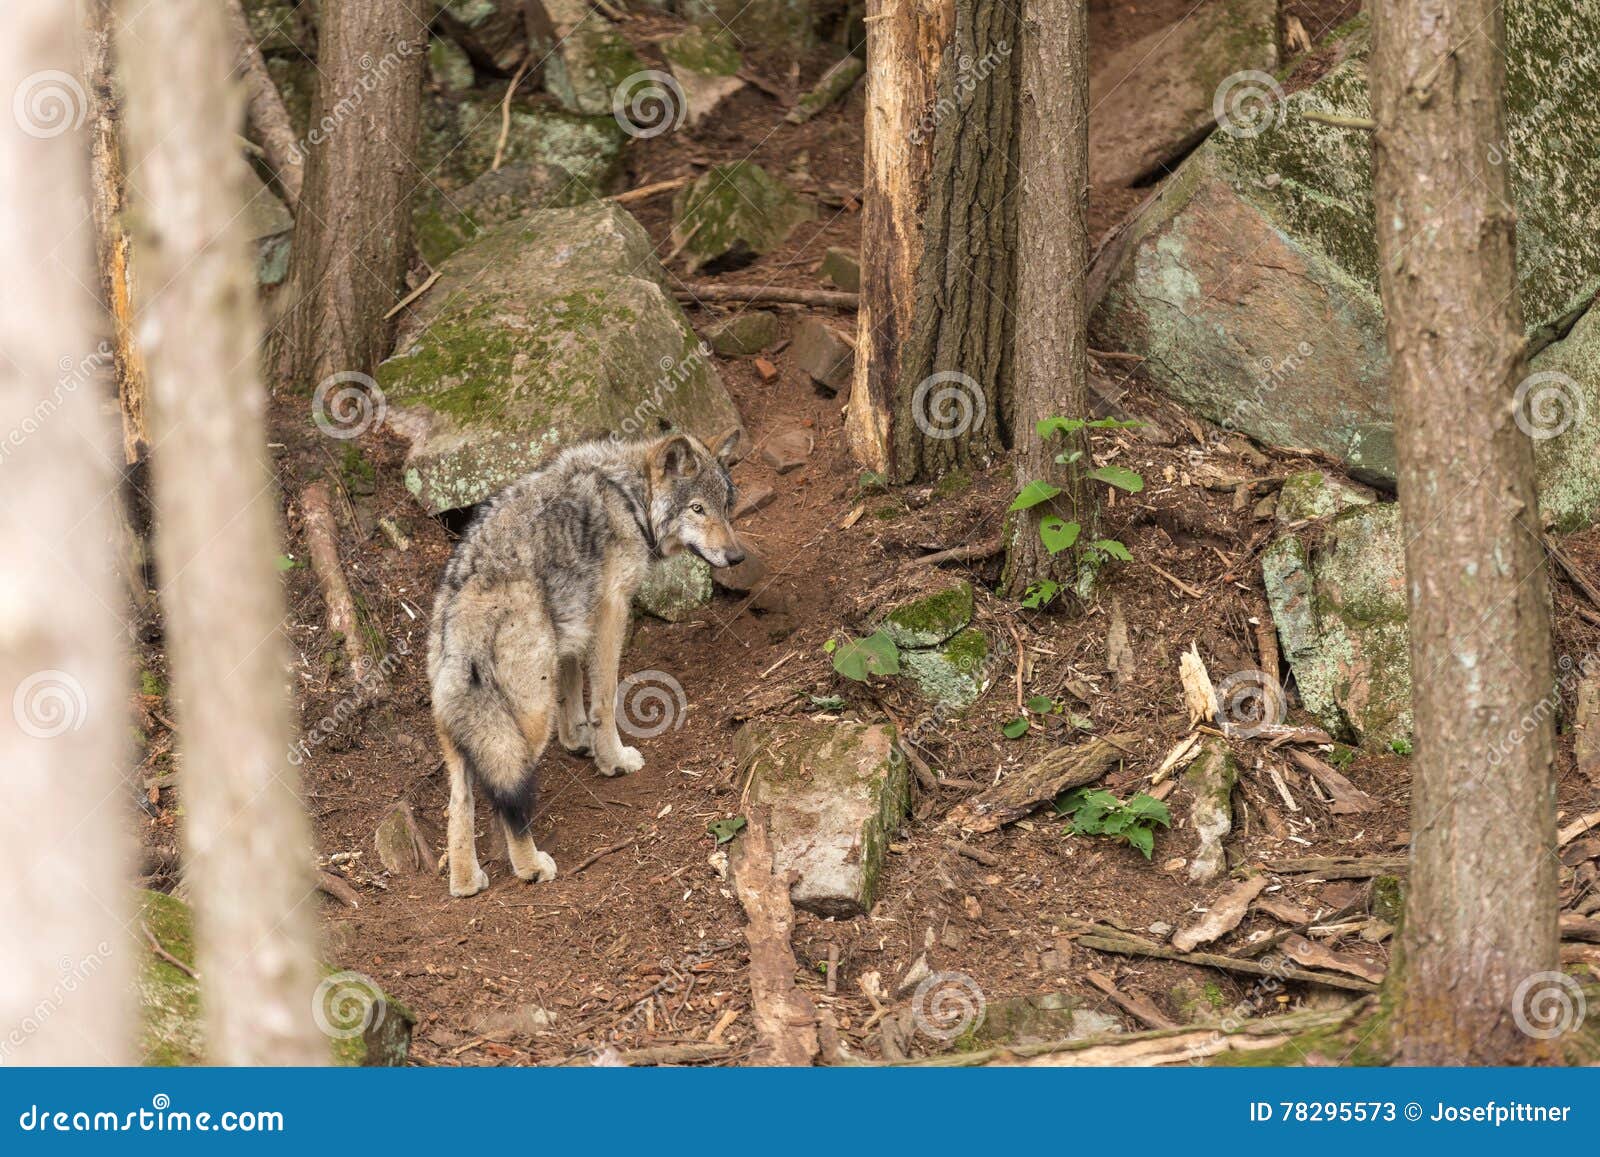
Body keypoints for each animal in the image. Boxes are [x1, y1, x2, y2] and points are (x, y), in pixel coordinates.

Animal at [427, 431, 744, 897]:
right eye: (697, 508)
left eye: (726, 507)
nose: (737, 557)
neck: (630, 500)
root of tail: (463, 607)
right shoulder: (612, 607)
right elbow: (604, 698)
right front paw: (611, 759)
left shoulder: (573, 619)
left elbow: (573, 682)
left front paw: (577, 739)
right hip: (526, 721)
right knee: (508, 798)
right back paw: (530, 867)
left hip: (465, 728)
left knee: (459, 801)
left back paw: (466, 882)